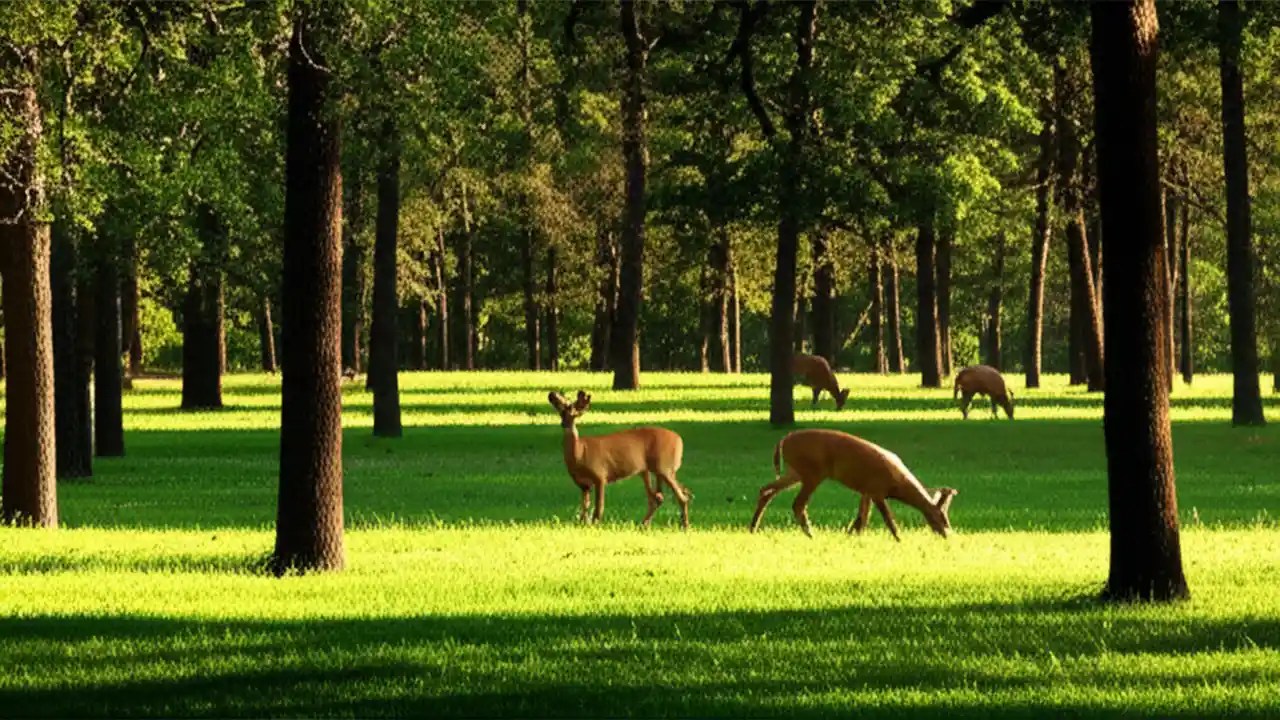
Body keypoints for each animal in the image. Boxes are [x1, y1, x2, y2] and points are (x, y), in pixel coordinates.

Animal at [548, 390, 691, 529]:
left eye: (573, 411)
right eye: (561, 412)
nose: (564, 424)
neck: (579, 453)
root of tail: (679, 440)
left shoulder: (600, 475)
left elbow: (599, 507)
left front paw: (595, 526)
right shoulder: (583, 484)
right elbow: (585, 507)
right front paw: (583, 524)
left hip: (664, 466)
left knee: (681, 497)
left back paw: (685, 526)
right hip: (646, 470)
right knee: (657, 497)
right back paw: (643, 524)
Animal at [749, 429, 957, 541]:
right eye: (940, 518)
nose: (947, 535)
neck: (897, 484)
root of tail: (782, 441)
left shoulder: (866, 491)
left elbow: (862, 517)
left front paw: (852, 536)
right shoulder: (876, 489)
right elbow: (888, 519)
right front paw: (900, 540)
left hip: (794, 471)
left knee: (766, 490)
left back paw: (753, 528)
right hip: (812, 472)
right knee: (797, 504)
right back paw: (811, 535)